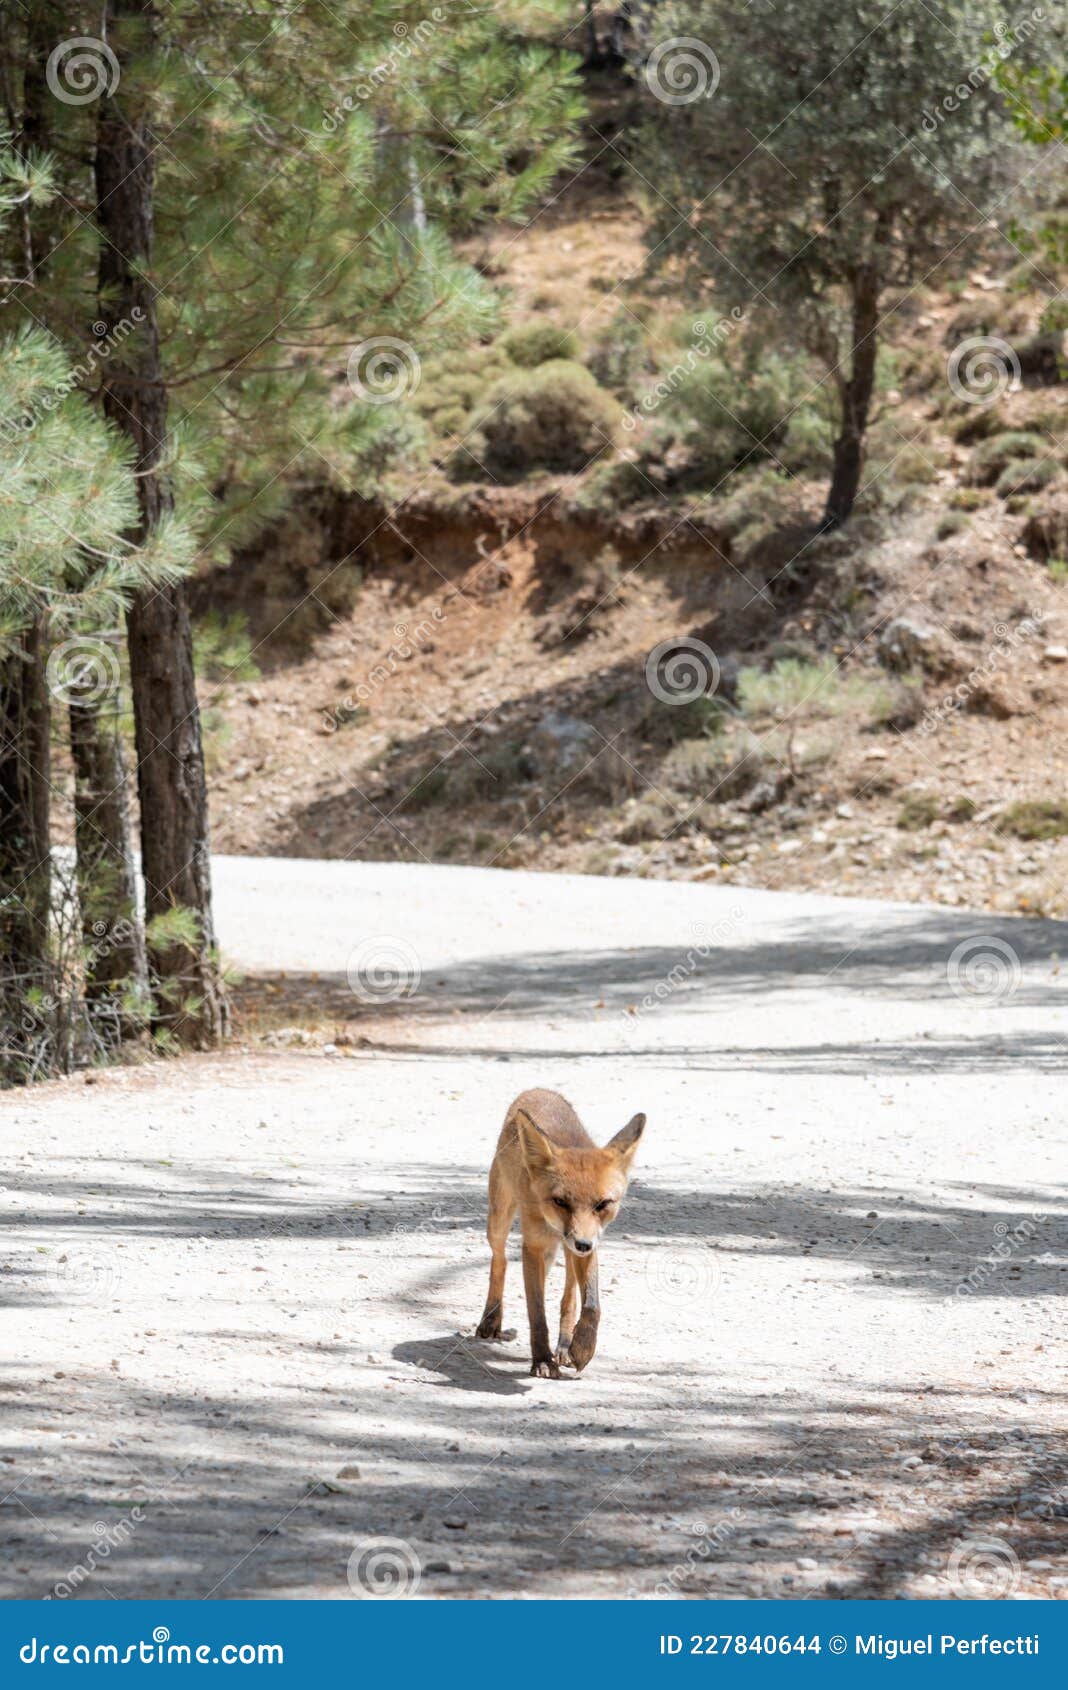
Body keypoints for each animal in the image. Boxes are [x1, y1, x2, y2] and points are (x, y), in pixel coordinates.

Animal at [475, 1088, 646, 1378]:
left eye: (603, 1204)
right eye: (560, 1201)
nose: (583, 1243)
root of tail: (539, 1090)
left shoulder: (590, 1243)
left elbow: (591, 1306)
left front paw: (582, 1349)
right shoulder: (533, 1246)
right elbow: (537, 1313)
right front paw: (543, 1360)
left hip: (564, 1250)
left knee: (569, 1297)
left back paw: (566, 1344)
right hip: (498, 1221)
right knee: (500, 1261)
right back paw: (491, 1319)